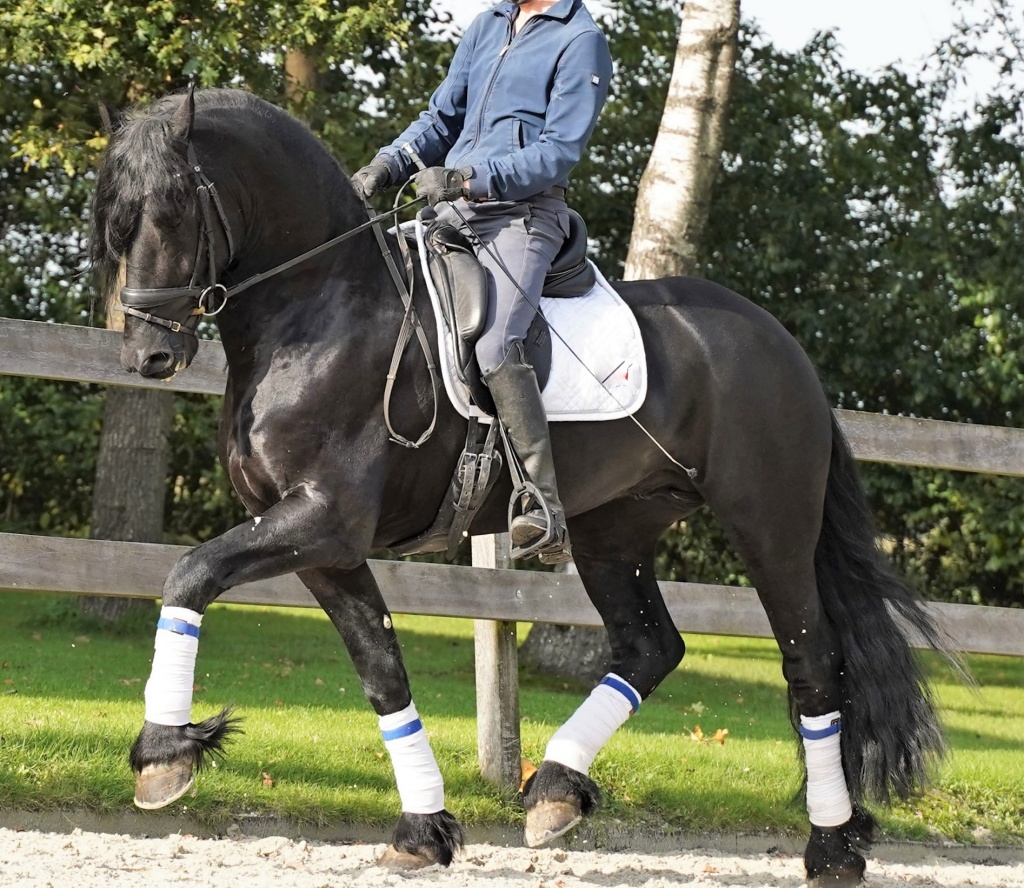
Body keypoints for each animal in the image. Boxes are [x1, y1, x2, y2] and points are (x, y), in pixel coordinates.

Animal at [89, 87, 957, 886]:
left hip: (769, 527)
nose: (148, 357)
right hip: (614, 531)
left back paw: (832, 846)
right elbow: (381, 670)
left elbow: (189, 572)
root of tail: (783, 345)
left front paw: (164, 753)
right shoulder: (321, 545)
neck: (322, 309)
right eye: (114, 221)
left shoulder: (322, 520)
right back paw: (557, 792)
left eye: (171, 208)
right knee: (652, 646)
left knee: (811, 665)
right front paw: (423, 830)